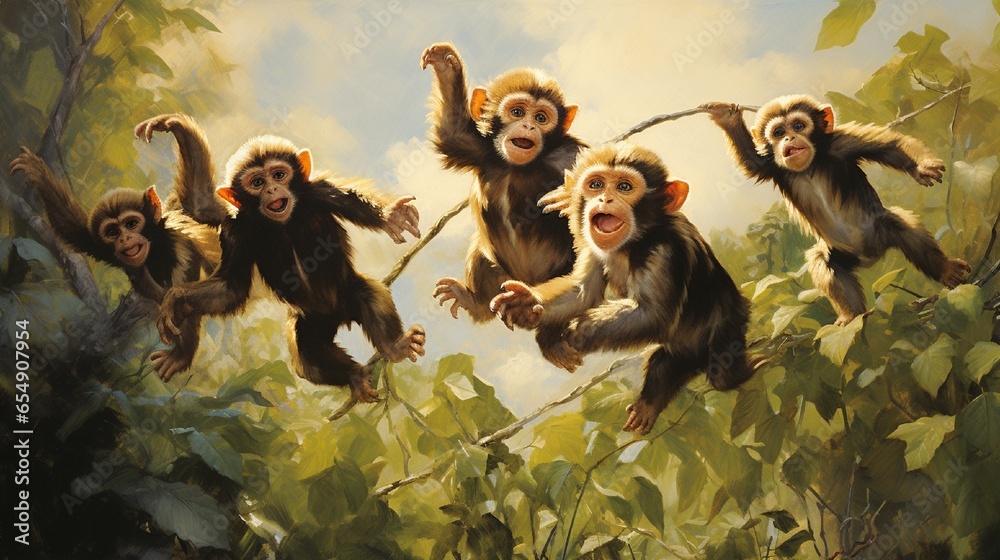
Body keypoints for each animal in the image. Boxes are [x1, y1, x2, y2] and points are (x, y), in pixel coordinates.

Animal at [9, 113, 228, 380]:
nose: (124, 239)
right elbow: (82, 236)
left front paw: (181, 355)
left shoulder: (179, 248)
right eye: (112, 232)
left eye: (132, 224)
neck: (155, 246)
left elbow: (181, 299)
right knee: (198, 200)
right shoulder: (104, 246)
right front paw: (38, 173)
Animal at [157, 135, 425, 403]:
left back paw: (396, 346)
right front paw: (177, 298)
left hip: (348, 292)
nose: (272, 190)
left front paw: (392, 215)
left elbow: (351, 201)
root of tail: (340, 318)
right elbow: (231, 287)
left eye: (278, 175)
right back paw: (355, 376)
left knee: (369, 295)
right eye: (257, 182)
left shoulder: (319, 191)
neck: (283, 222)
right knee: (309, 358)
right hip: (310, 322)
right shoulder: (236, 231)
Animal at [421, 42, 587, 322]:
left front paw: (568, 196)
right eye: (517, 112)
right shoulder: (482, 150)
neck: (517, 167)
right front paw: (446, 65)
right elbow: (453, 134)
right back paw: (474, 301)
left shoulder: (567, 154)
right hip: (504, 279)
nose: (529, 126)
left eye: (541, 118)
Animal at [490, 142, 757, 434]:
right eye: (596, 184)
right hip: (683, 354)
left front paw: (579, 332)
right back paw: (649, 405)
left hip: (730, 324)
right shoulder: (593, 247)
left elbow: (653, 315)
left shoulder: (664, 250)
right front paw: (526, 305)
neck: (633, 242)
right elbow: (583, 292)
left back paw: (739, 372)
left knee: (721, 372)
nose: (605, 200)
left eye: (624, 187)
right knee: (663, 362)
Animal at [701, 96, 971, 326]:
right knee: (824, 262)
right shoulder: (772, 164)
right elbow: (751, 161)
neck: (810, 165)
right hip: (842, 253)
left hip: (879, 231)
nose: (789, 139)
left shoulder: (842, 143)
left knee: (903, 226)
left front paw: (923, 167)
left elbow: (890, 146)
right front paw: (727, 117)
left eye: (798, 125)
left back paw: (945, 269)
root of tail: (870, 258)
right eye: (778, 132)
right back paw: (852, 315)